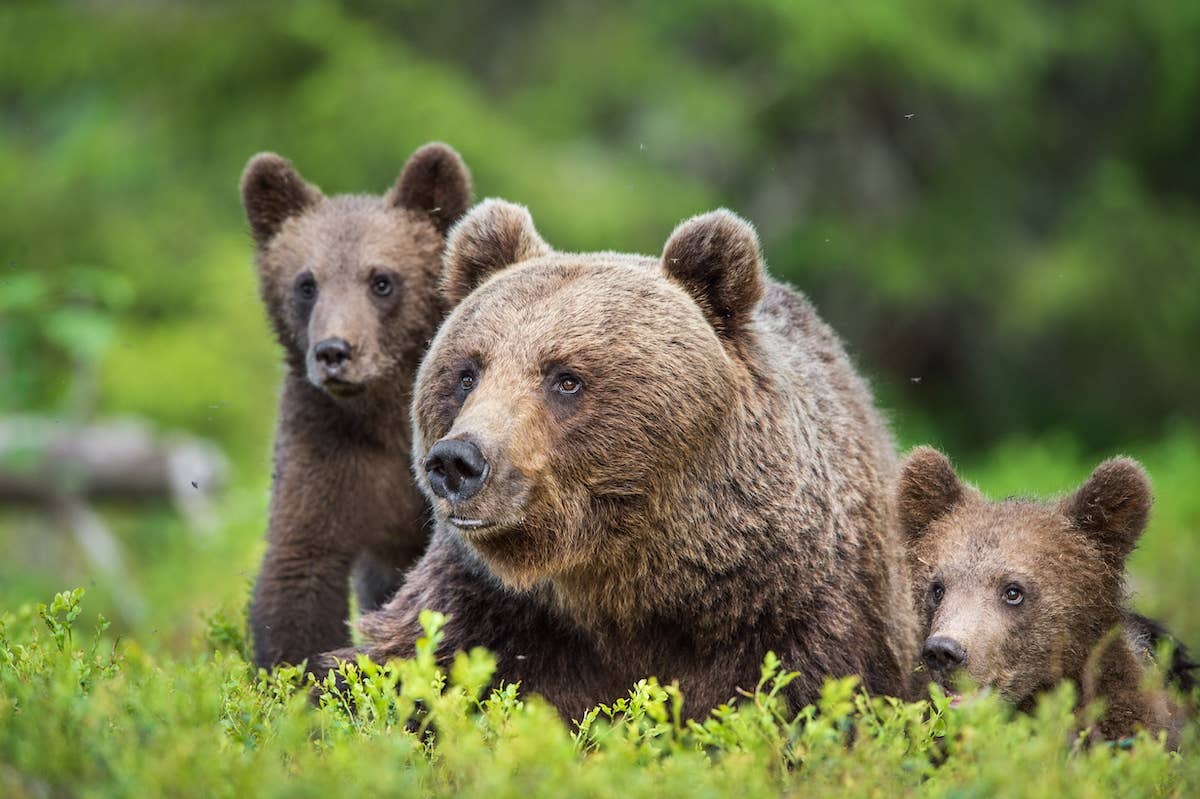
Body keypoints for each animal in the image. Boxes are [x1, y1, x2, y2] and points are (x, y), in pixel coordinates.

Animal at [241, 143, 472, 670]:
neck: (385, 416)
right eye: (306, 283)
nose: (334, 351)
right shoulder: (327, 447)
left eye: (382, 280)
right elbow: (301, 565)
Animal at [320, 200, 921, 720]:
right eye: (468, 372)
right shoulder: (484, 611)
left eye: (566, 378)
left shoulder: (799, 616)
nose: (457, 461)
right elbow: (387, 674)